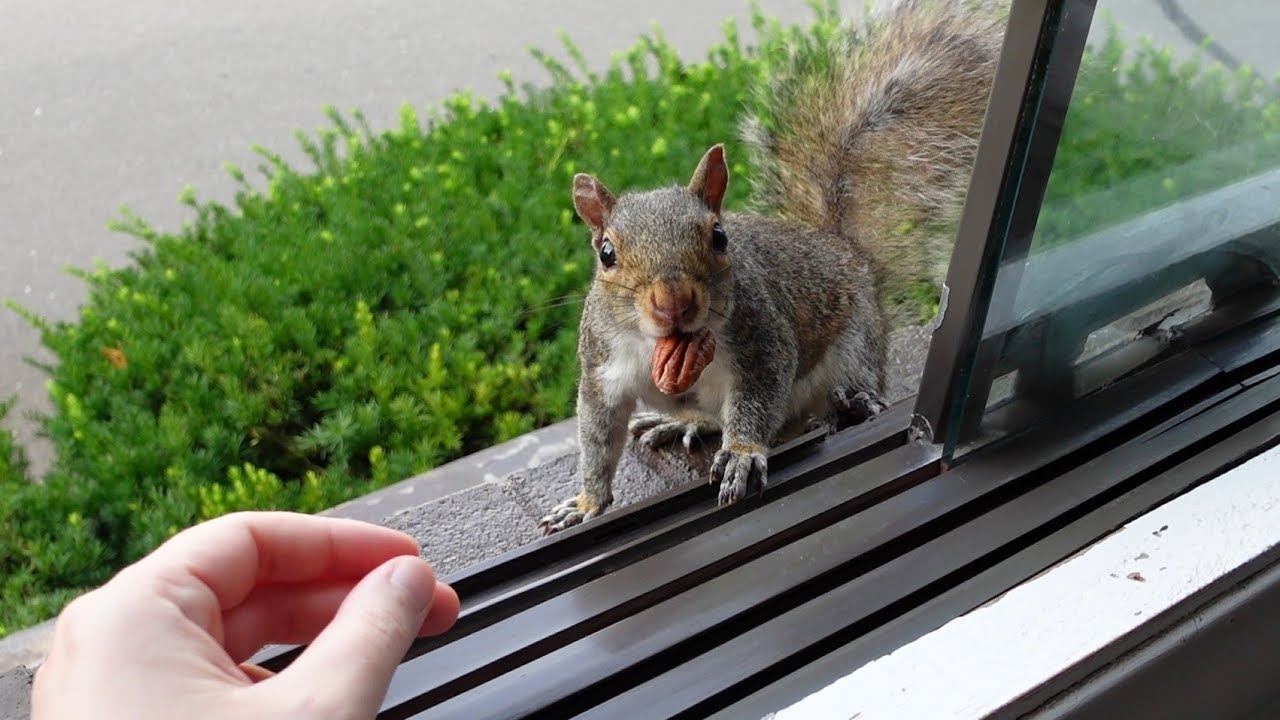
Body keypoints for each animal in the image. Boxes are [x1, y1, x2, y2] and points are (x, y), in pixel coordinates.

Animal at [538, 0, 1006, 533]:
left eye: (719, 236)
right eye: (607, 254)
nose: (672, 301)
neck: (662, 346)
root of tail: (844, 249)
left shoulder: (763, 338)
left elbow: (757, 399)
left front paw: (742, 453)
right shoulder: (602, 369)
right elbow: (598, 439)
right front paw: (585, 504)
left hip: (856, 342)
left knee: (844, 389)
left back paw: (855, 403)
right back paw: (682, 420)